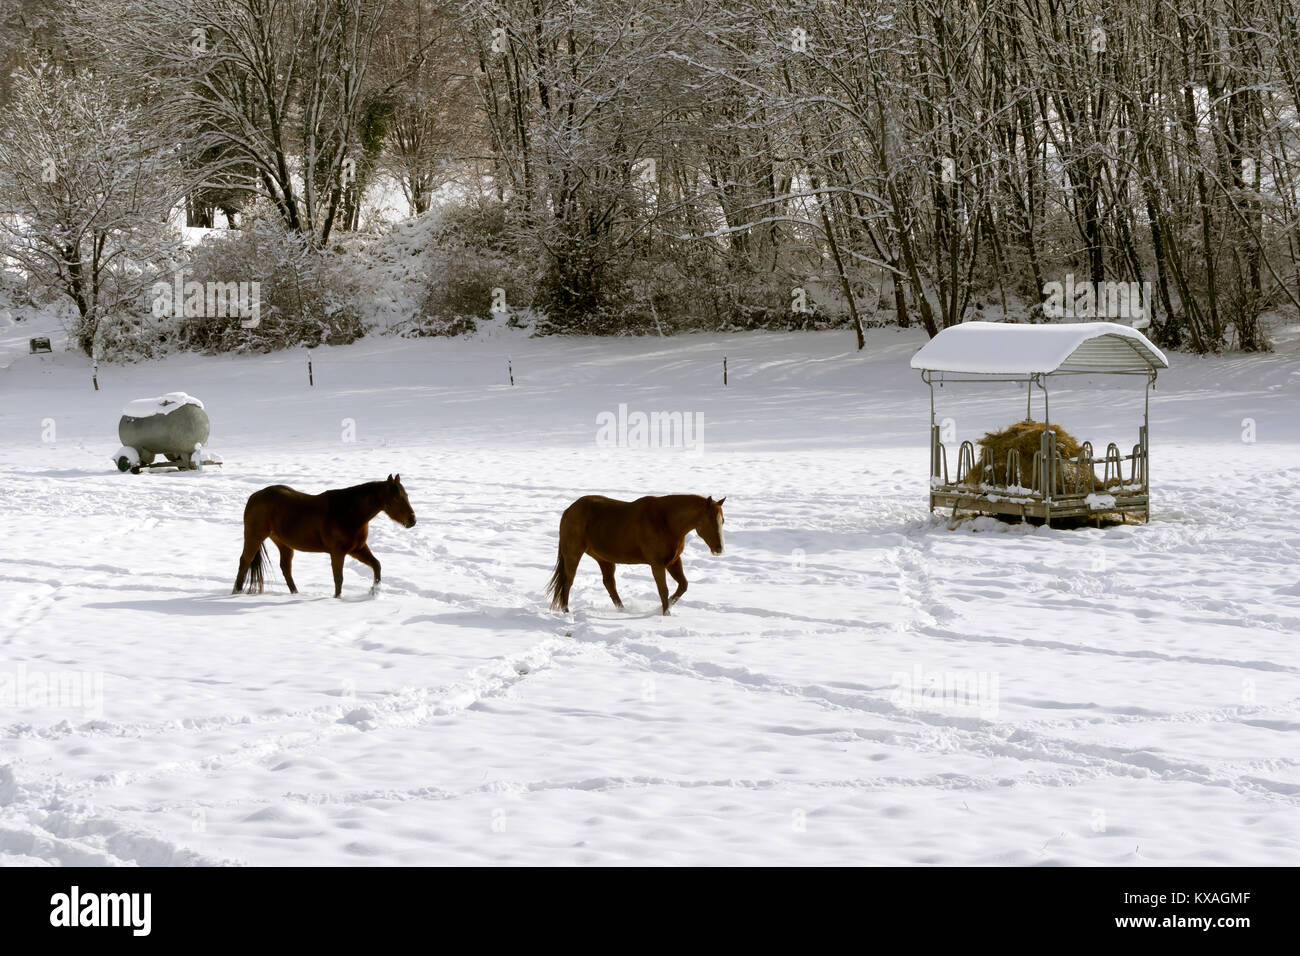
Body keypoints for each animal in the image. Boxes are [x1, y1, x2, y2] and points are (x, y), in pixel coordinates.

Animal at [233, 474, 416, 598]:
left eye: (406, 496)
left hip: (283, 544)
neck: (348, 513)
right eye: (396, 498)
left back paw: (295, 593)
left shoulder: (357, 549)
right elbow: (338, 578)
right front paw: (337, 598)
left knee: (285, 568)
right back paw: (236, 591)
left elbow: (376, 565)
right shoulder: (338, 552)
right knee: (245, 561)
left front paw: (374, 591)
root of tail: (254, 496)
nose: (412, 520)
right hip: (254, 537)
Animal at [547, 494, 726, 615]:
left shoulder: (673, 561)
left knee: (609, 583)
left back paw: (622, 610)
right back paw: (566, 611)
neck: (665, 521)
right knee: (568, 582)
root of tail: (569, 510)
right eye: (709, 520)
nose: (719, 549)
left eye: (722, 520)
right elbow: (664, 590)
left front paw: (663, 608)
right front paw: (665, 613)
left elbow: (683, 585)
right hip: (573, 553)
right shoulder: (657, 564)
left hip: (604, 559)